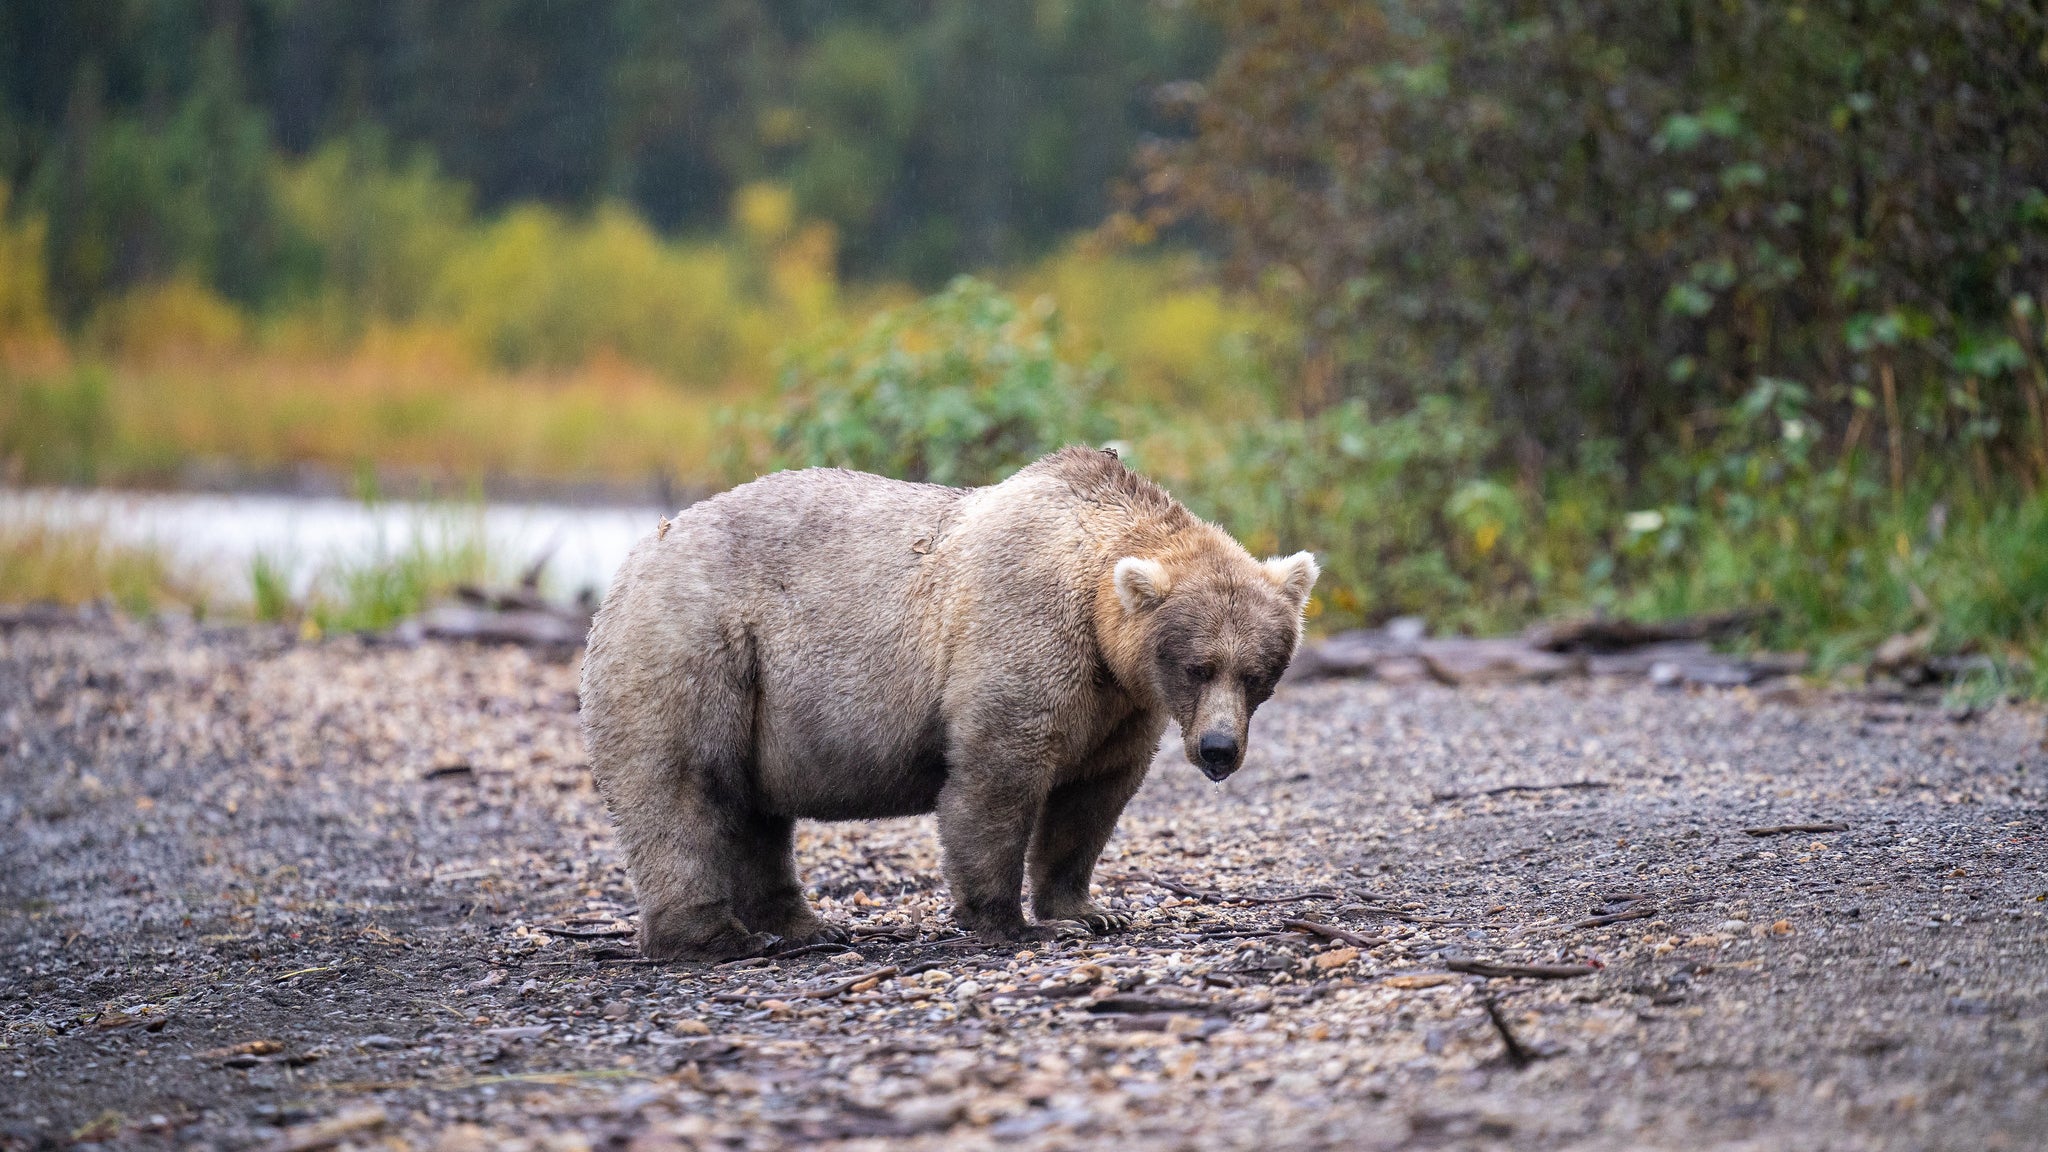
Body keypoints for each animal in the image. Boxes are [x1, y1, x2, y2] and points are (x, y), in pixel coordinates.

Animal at [580, 446, 1318, 959]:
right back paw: (716, 936)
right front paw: (1011, 922)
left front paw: (1089, 910)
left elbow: (1092, 798)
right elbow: (998, 776)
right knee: (684, 790)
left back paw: (807, 924)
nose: (1219, 750)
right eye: (1198, 666)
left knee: (758, 813)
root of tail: (635, 556)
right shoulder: (1022, 630)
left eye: (1258, 673)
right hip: (696, 649)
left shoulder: (1120, 706)